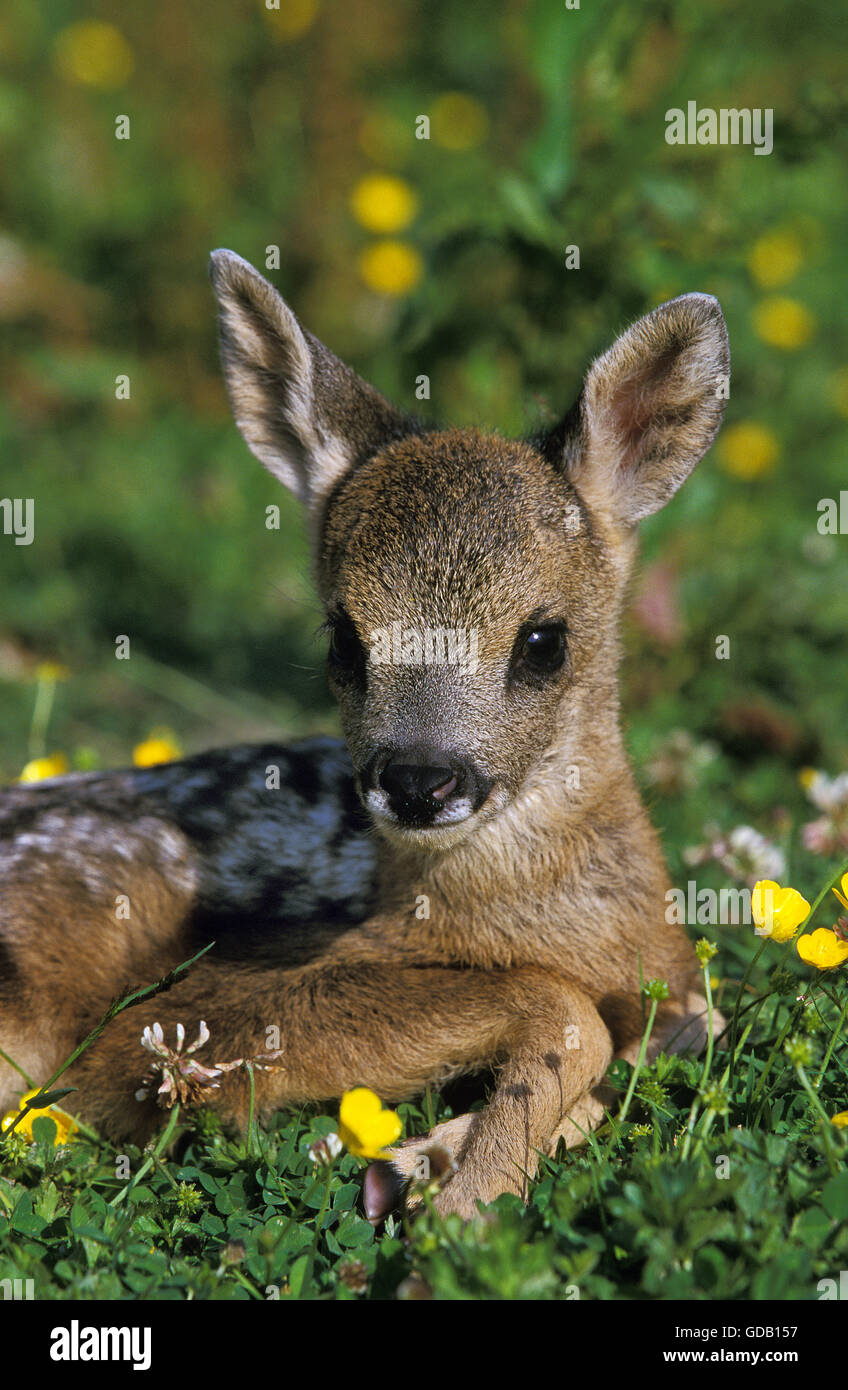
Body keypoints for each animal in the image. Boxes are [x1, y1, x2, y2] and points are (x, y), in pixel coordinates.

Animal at [0, 251, 729, 1219]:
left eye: (545, 642)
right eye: (343, 638)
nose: (419, 778)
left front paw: (442, 1166)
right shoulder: (155, 1024)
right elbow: (564, 1010)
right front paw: (461, 1196)